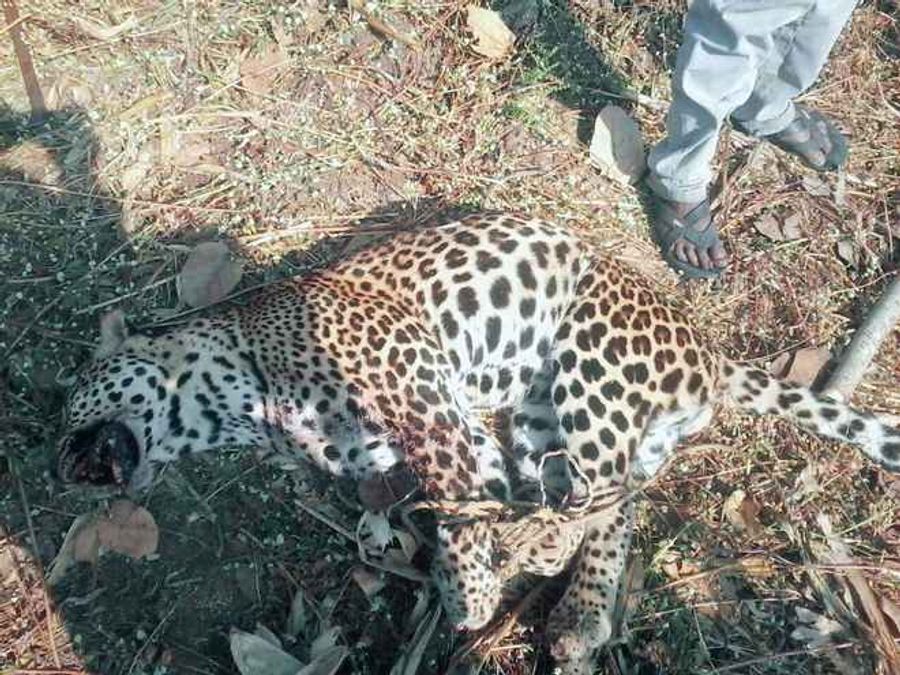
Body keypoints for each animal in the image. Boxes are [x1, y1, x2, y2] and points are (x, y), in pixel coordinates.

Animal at [54, 213, 899, 673]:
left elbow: (459, 504)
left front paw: (472, 597)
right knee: (609, 499)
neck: (240, 393)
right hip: (540, 419)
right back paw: (575, 603)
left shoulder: (426, 400)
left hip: (590, 367)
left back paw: (552, 574)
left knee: (600, 496)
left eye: (72, 407)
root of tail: (712, 351)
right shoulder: (425, 444)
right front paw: (473, 575)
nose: (63, 470)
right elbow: (466, 501)